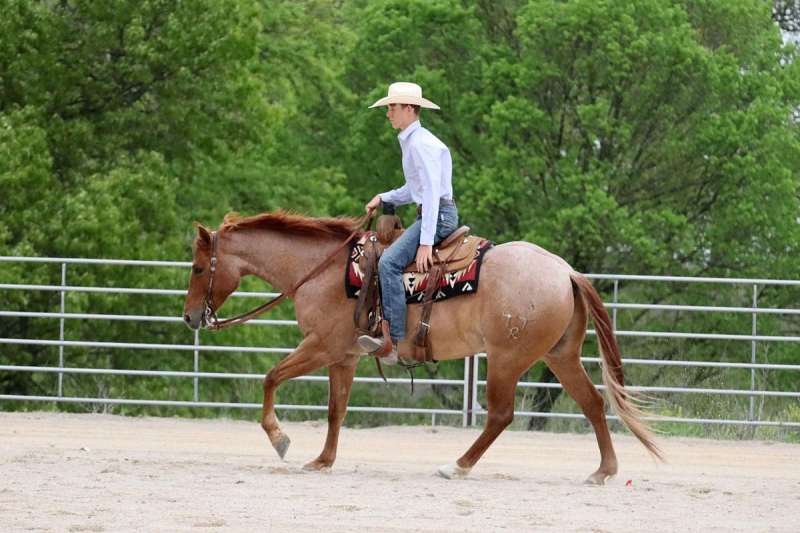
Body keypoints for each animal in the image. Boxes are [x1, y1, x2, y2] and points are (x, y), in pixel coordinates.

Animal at [182, 210, 663, 484]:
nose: (189, 317)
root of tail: (566, 271)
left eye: (198, 267)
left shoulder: (319, 346)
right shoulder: (344, 356)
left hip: (507, 358)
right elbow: (337, 410)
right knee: (593, 404)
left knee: (501, 415)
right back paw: (603, 471)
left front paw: (280, 439)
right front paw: (322, 460)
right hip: (559, 355)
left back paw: (457, 466)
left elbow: (270, 377)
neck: (322, 271)